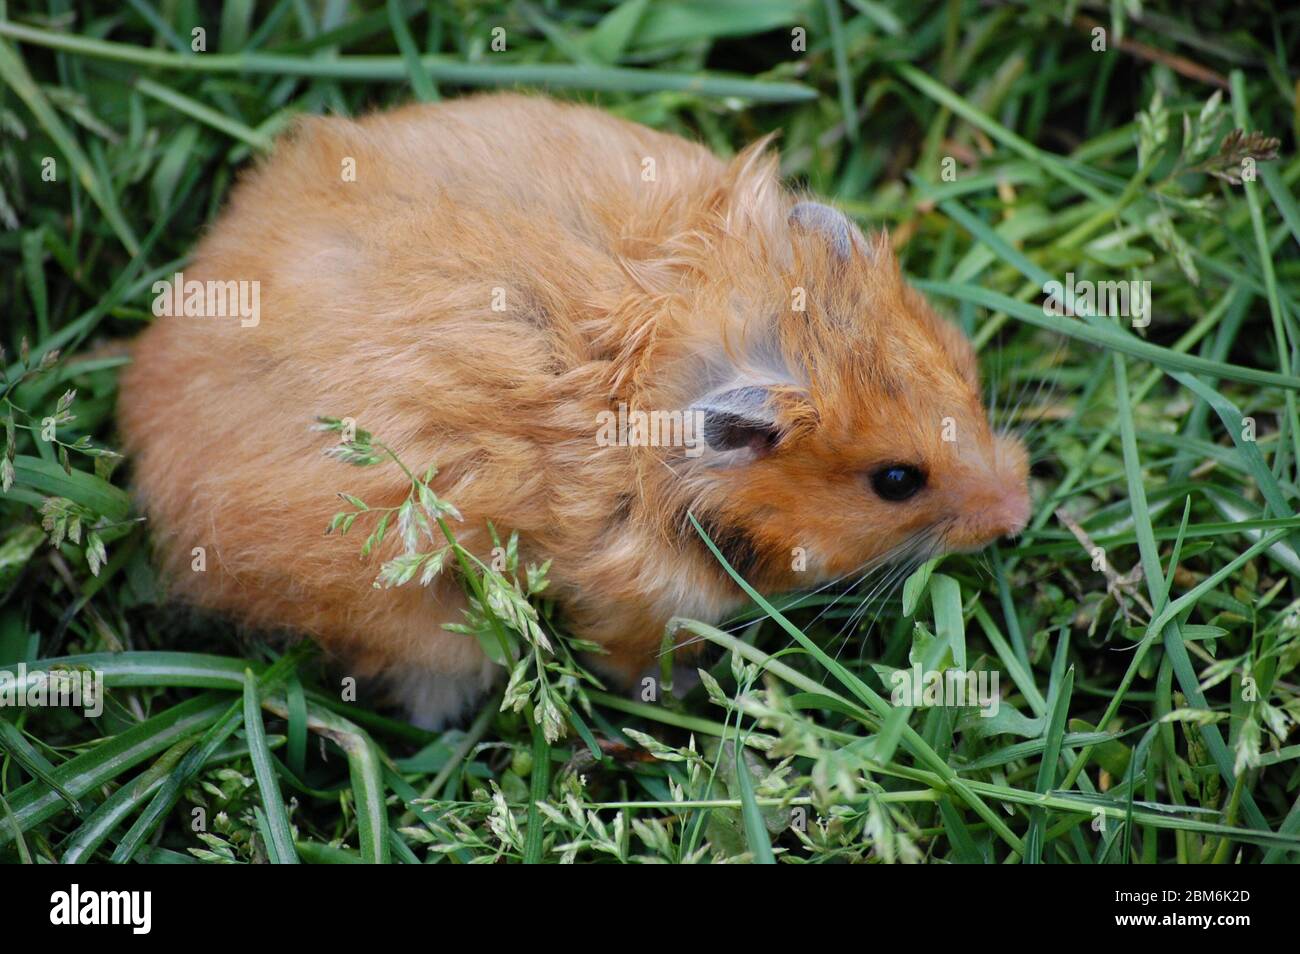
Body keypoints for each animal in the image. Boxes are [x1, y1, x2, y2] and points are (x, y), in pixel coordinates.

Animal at [117, 93, 1030, 728]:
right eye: (897, 481)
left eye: (964, 373)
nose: (1021, 511)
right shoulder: (633, 599)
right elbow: (639, 650)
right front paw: (688, 696)